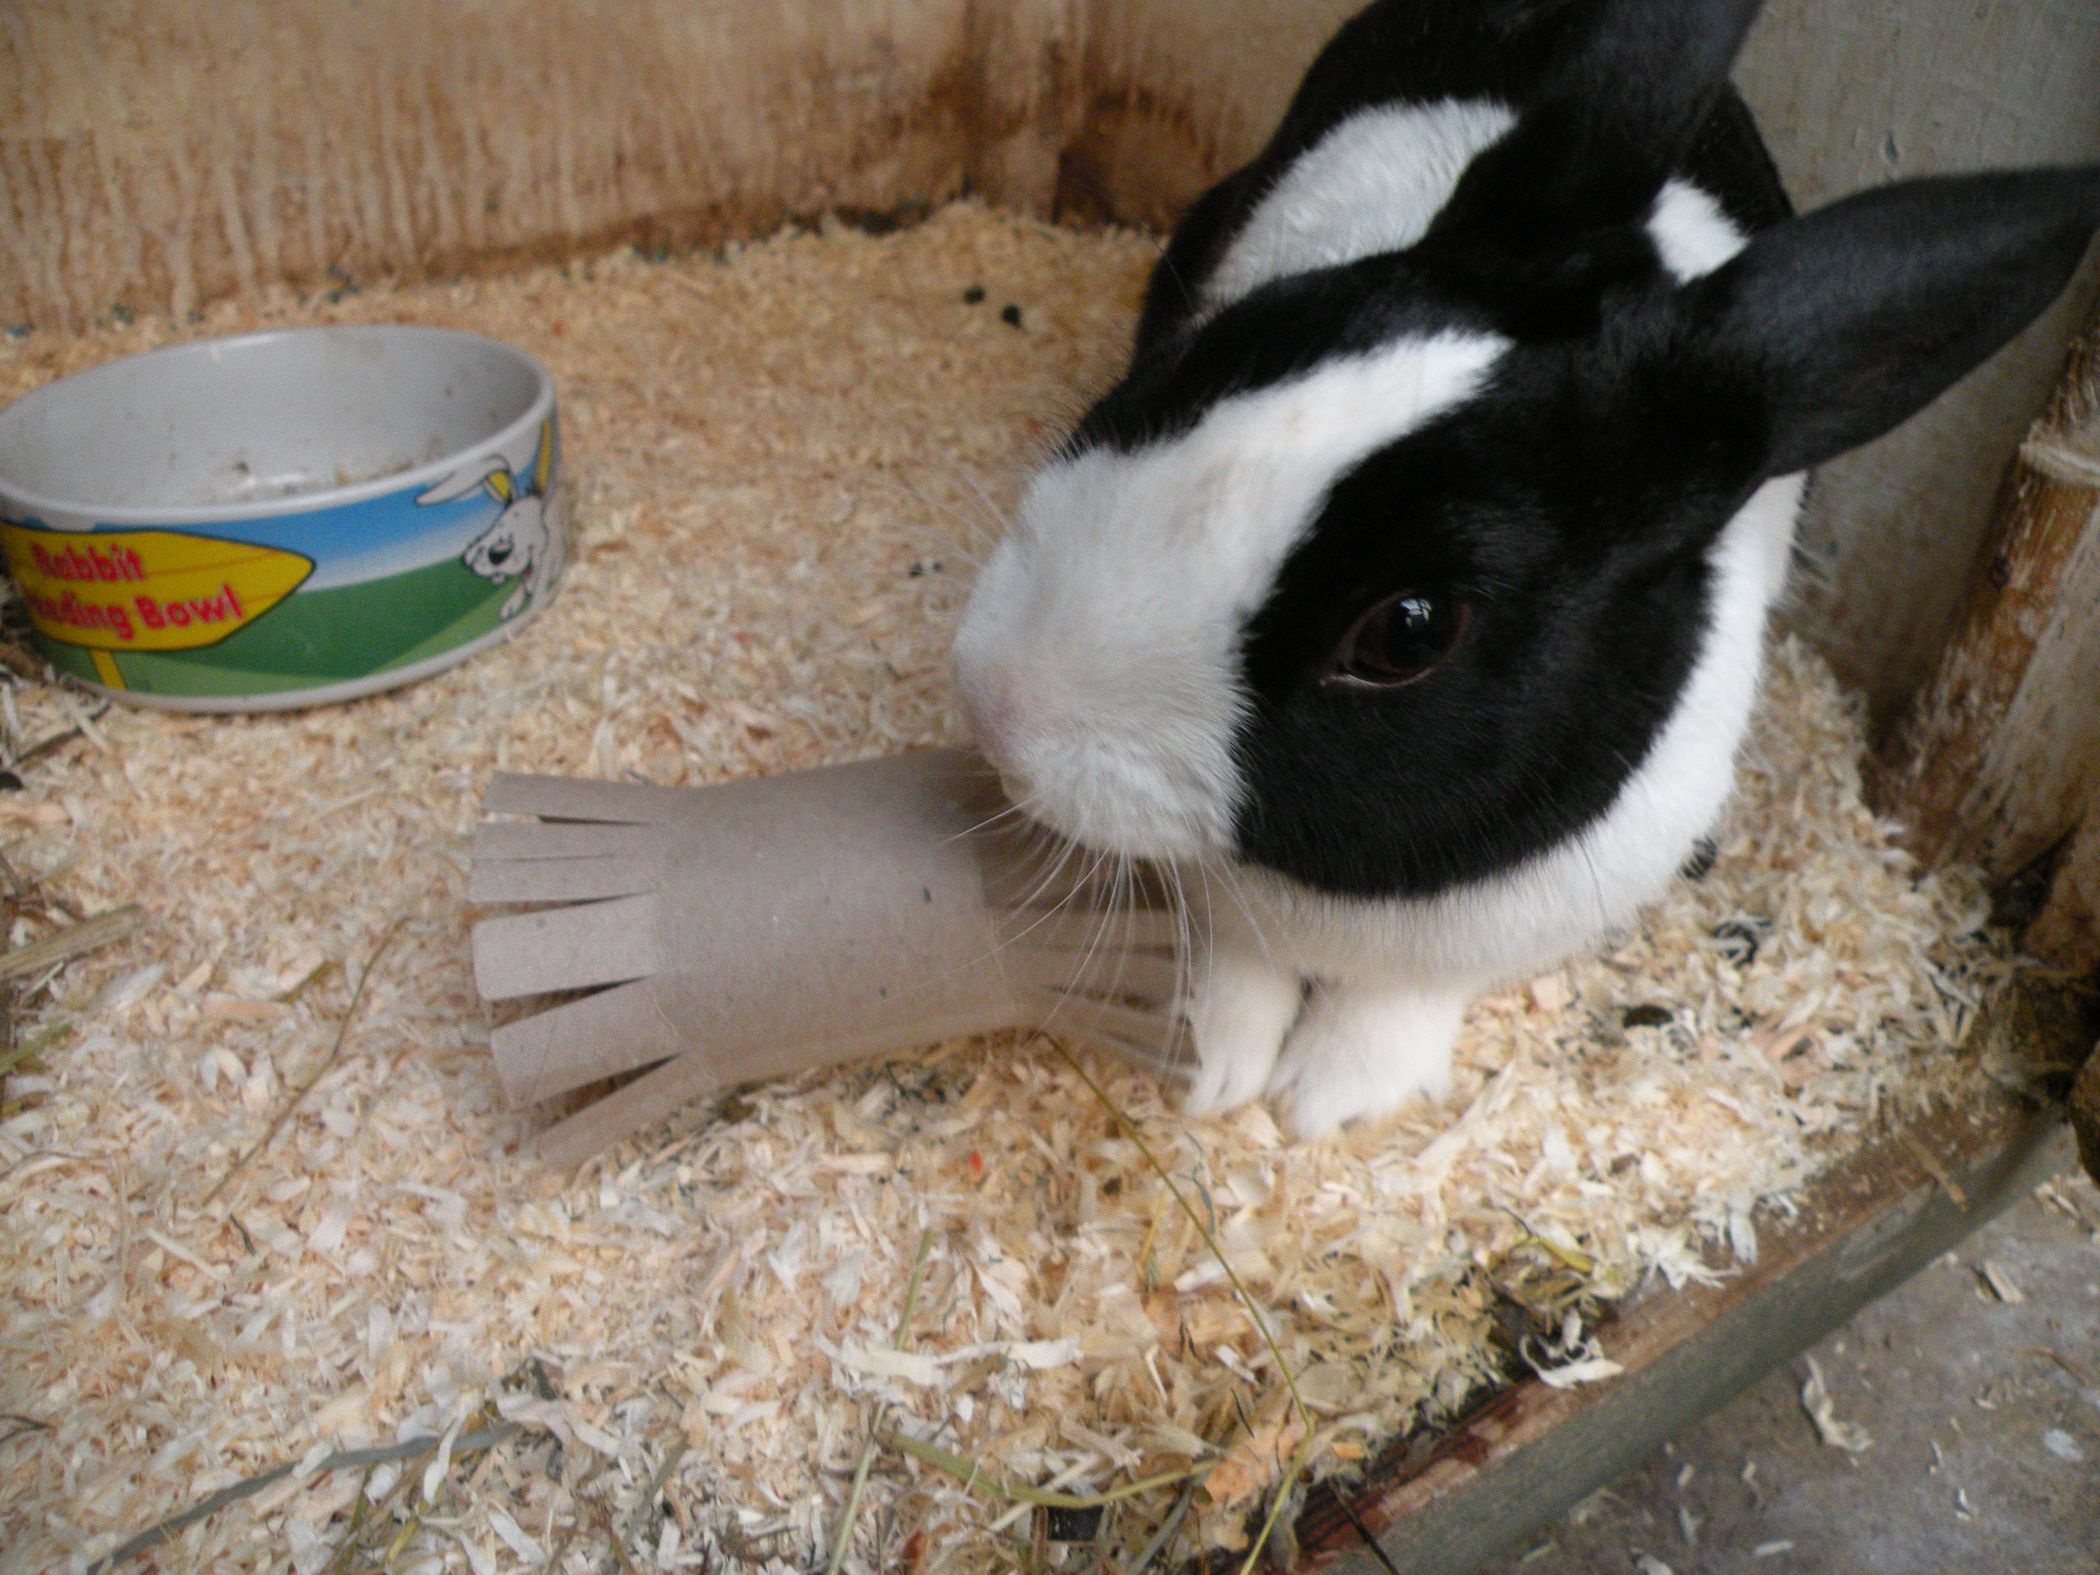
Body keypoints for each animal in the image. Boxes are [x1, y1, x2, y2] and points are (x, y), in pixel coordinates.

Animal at [949, 0, 2100, 1138]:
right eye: (1207, 359)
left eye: (1406, 630)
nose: (1000, 703)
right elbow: (1234, 964)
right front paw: (1215, 1067)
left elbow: (1396, 1003)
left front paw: (1331, 1102)